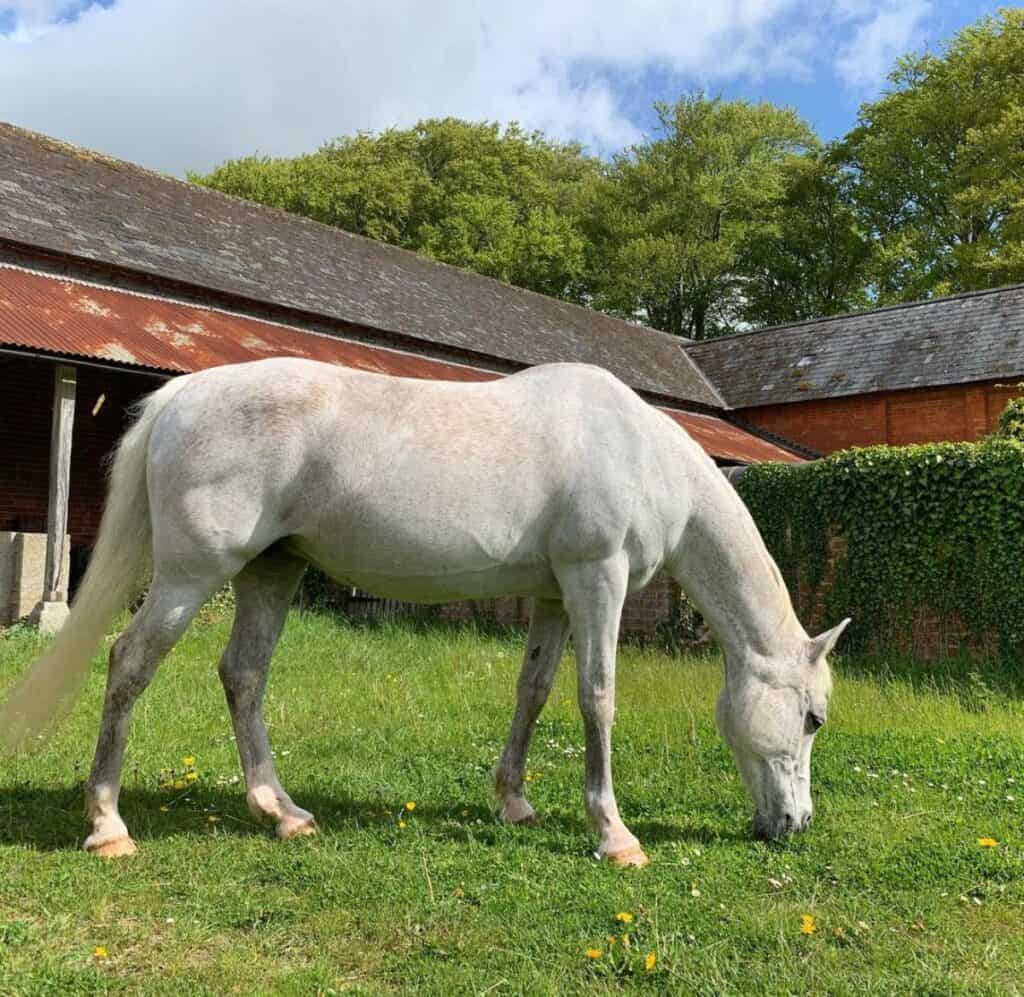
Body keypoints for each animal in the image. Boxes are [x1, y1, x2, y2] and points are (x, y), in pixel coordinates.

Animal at [0, 359, 848, 864]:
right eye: (811, 718)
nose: (796, 825)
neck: (638, 452)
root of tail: (181, 394)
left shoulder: (553, 593)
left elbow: (534, 692)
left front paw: (514, 802)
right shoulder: (595, 579)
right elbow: (596, 698)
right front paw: (614, 835)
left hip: (271, 573)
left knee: (242, 676)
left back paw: (283, 812)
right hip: (188, 576)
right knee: (128, 663)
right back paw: (108, 824)